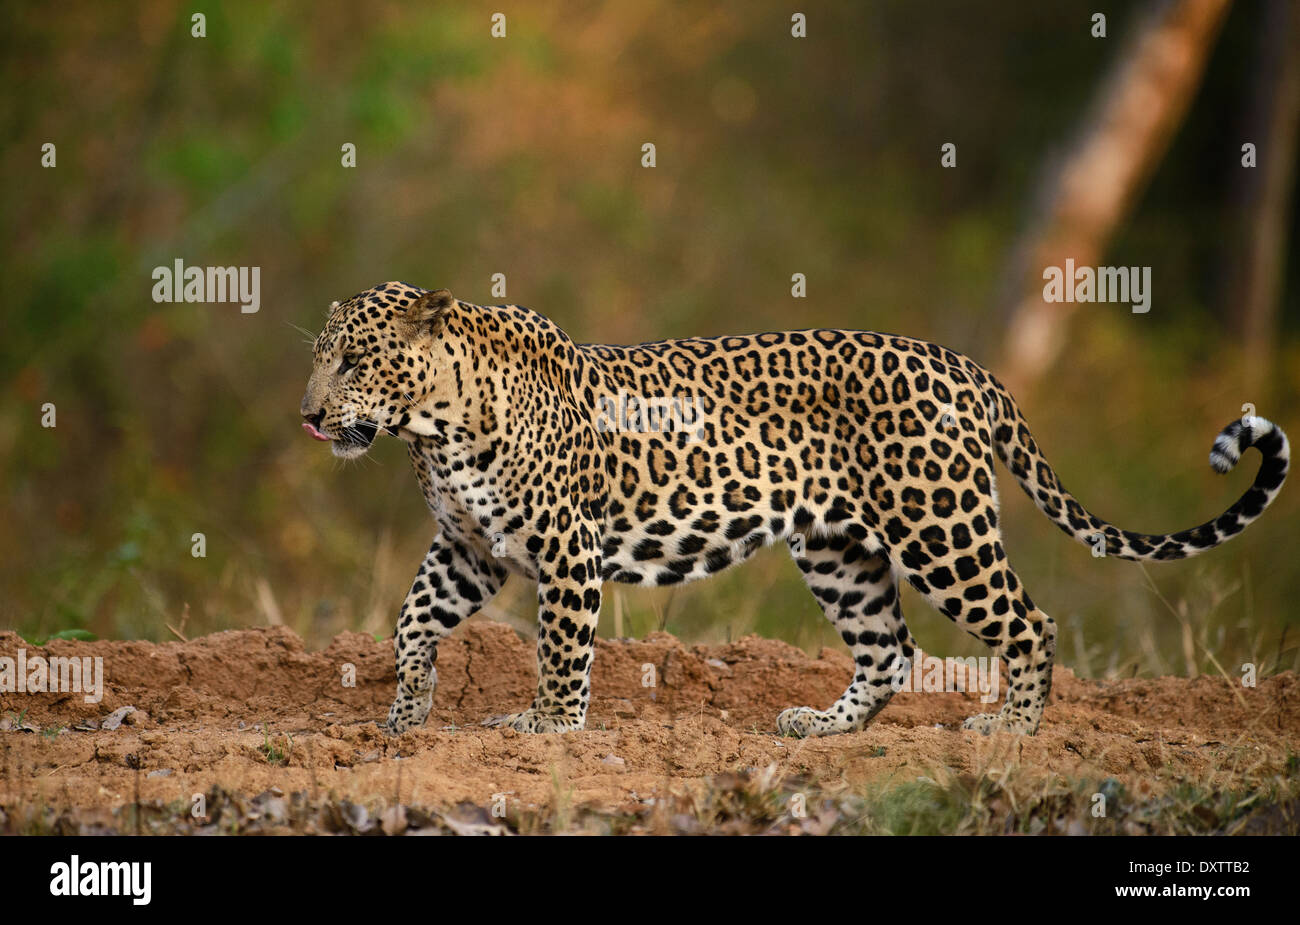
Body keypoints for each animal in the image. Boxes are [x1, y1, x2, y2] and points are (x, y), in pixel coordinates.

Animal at [299, 281, 1290, 738]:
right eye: (321, 357)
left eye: (352, 359)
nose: (308, 416)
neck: (431, 425)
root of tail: (968, 367)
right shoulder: (471, 548)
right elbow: (410, 620)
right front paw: (406, 713)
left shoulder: (565, 549)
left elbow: (560, 649)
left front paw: (546, 725)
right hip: (839, 550)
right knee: (891, 649)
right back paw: (824, 726)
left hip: (941, 527)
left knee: (1029, 622)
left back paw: (1010, 727)